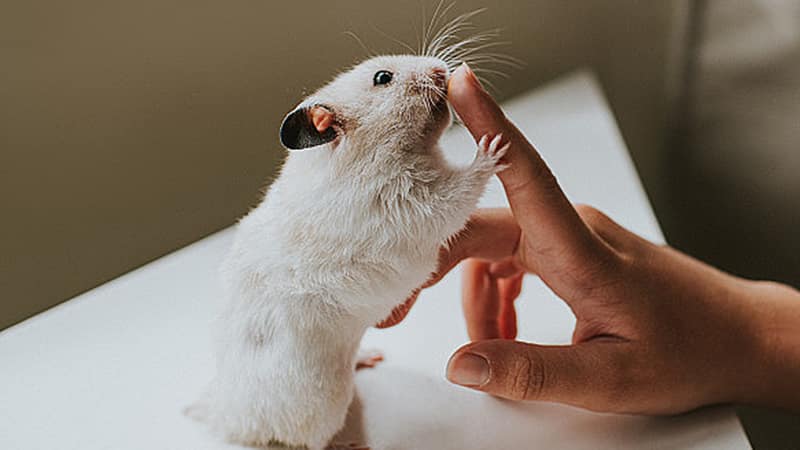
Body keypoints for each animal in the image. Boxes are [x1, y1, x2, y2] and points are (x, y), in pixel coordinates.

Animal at [187, 55, 508, 449]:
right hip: (322, 408)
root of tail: (230, 420)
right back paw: (352, 442)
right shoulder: (417, 202)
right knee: (311, 443)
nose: (440, 68)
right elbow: (463, 188)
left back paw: (370, 357)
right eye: (383, 78)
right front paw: (493, 149)